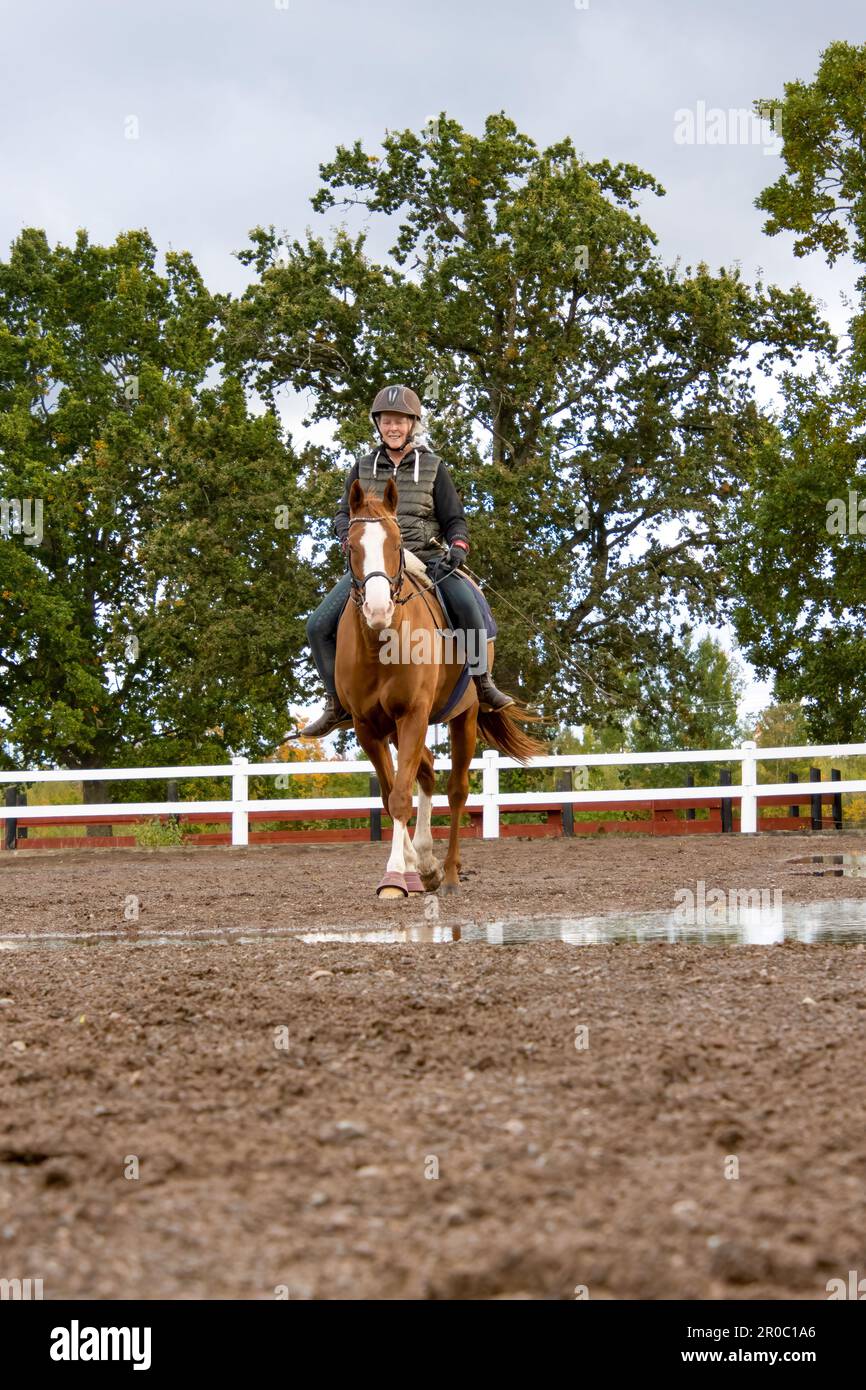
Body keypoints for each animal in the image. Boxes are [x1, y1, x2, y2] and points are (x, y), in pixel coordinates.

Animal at [336, 476, 546, 898]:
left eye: (396, 543)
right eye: (352, 545)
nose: (379, 610)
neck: (381, 645)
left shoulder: (413, 715)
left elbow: (401, 795)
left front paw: (395, 876)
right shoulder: (369, 728)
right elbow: (389, 795)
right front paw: (407, 867)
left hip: (463, 717)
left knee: (456, 789)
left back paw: (447, 873)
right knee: (429, 773)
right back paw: (426, 863)